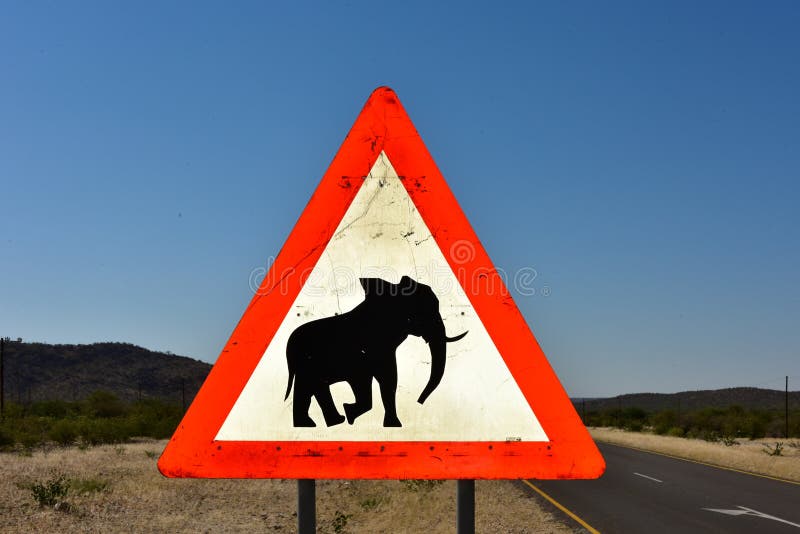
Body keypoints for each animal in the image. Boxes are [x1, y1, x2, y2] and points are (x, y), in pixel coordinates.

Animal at [284, 275, 467, 428]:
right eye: (425, 310)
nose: (419, 401)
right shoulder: (365, 352)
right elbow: (374, 381)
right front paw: (350, 412)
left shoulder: (383, 351)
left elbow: (387, 380)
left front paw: (390, 425)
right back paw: (327, 422)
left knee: (309, 388)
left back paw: (318, 423)